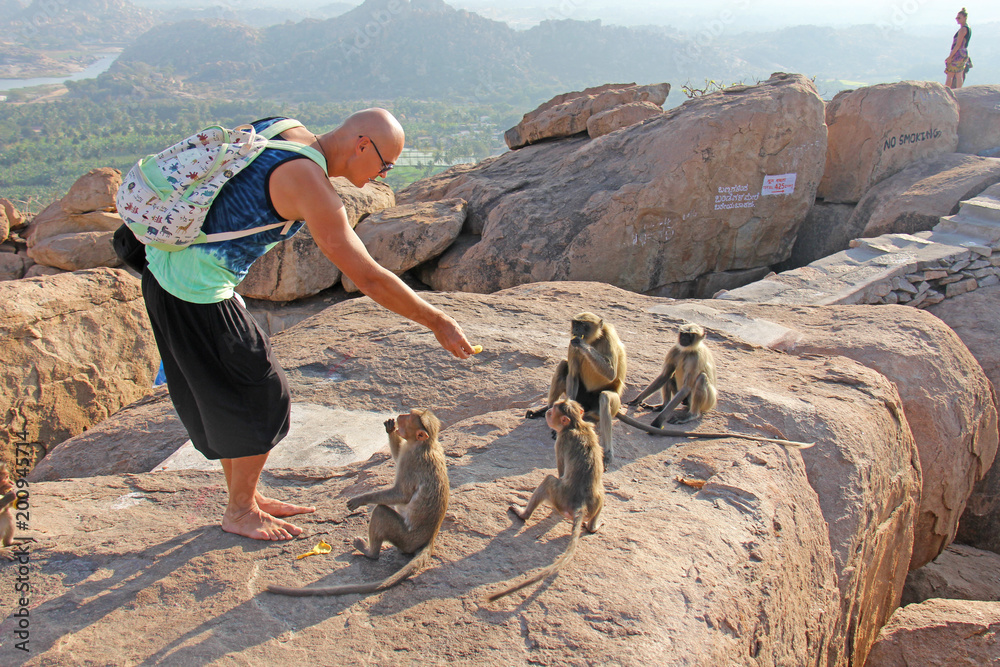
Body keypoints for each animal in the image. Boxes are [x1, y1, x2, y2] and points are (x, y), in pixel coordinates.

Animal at [268, 408, 449, 596]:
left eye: (409, 417)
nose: (400, 416)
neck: (424, 444)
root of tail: (429, 540)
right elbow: (397, 458)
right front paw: (390, 429)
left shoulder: (411, 460)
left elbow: (402, 494)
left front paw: (361, 499)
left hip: (406, 538)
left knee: (381, 513)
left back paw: (370, 552)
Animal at [489, 399, 604, 602]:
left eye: (552, 413)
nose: (547, 413)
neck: (576, 425)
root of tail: (580, 504)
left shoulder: (561, 441)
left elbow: (560, 472)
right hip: (593, 502)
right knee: (602, 495)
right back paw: (592, 527)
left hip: (559, 497)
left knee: (549, 480)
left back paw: (523, 514)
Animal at [526, 312, 626, 465]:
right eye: (575, 323)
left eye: (583, 325)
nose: (576, 330)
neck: (593, 340)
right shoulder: (570, 343)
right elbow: (572, 375)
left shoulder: (609, 336)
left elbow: (611, 373)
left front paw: (582, 344)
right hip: (580, 398)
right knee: (563, 365)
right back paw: (545, 411)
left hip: (602, 408)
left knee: (605, 398)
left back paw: (608, 452)